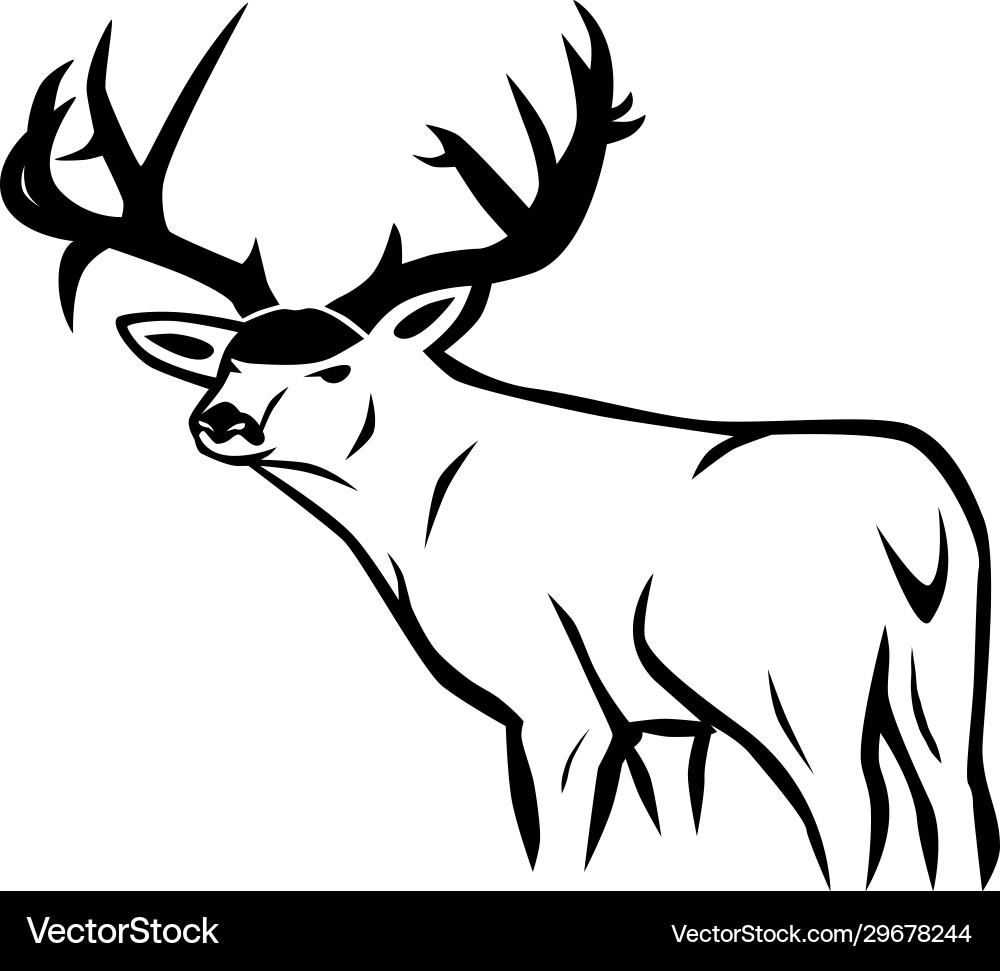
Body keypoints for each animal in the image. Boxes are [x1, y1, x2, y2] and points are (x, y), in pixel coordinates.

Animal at [3, 4, 996, 889]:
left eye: (336, 366)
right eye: (228, 358)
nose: (219, 421)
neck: (418, 522)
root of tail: (924, 519)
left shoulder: (556, 694)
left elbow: (557, 852)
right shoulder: (671, 725)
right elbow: (675, 844)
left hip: (782, 670)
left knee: (856, 811)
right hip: (941, 666)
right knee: (956, 805)